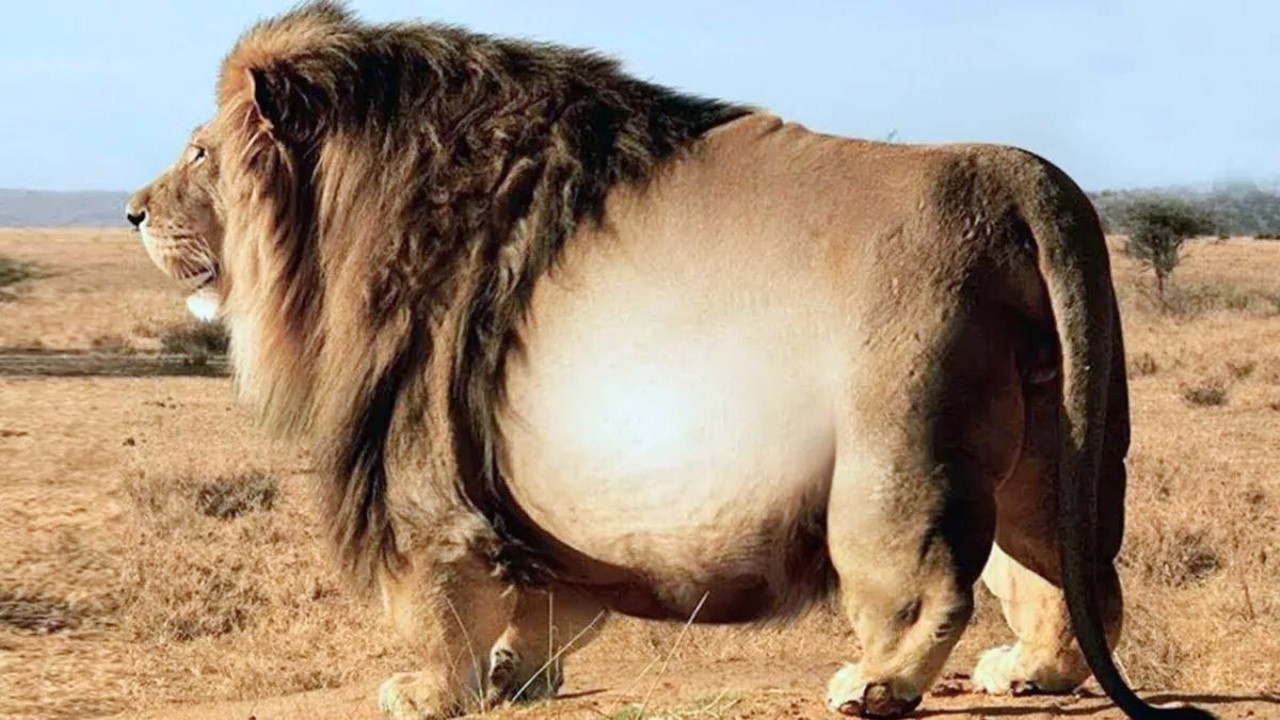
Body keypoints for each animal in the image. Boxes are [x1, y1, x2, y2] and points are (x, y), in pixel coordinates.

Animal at [125, 3, 1212, 719]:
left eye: (199, 153)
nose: (130, 211)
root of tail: (1015, 175)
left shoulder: (421, 464)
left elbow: (439, 599)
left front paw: (425, 692)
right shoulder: (527, 484)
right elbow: (546, 600)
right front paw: (519, 678)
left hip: (890, 456)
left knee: (934, 582)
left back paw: (875, 684)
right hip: (1053, 443)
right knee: (1073, 572)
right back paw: (1030, 670)